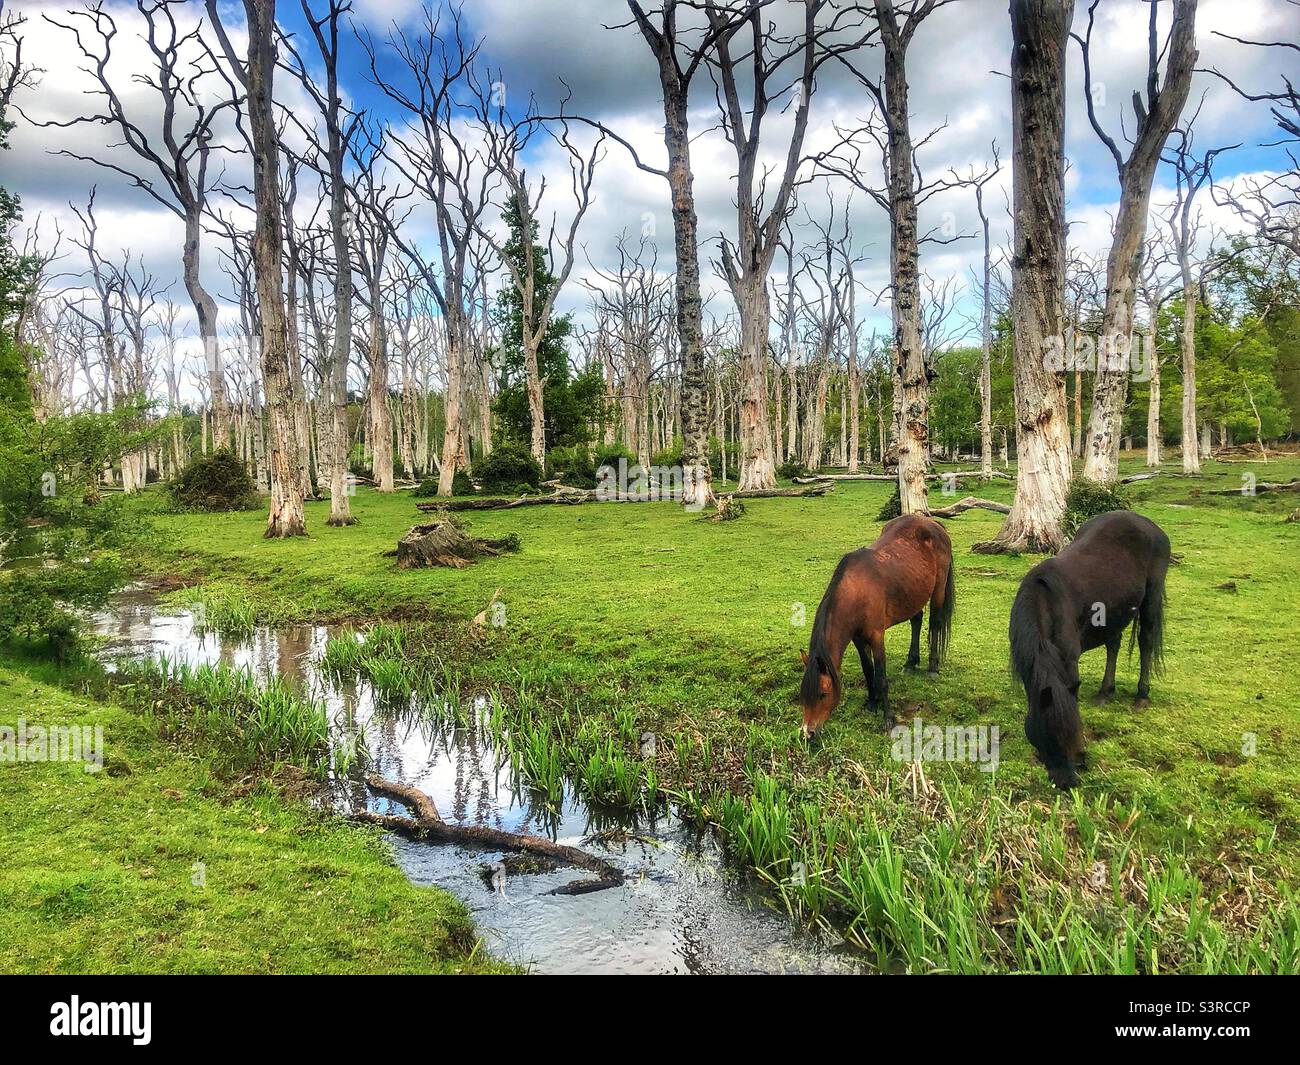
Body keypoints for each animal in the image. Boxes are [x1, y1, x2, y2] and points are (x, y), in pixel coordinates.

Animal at [799, 513, 955, 738]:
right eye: (803, 695)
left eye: (822, 694)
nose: (807, 733)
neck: (857, 592)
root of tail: (931, 522)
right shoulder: (857, 639)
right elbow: (867, 669)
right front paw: (872, 702)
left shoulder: (876, 637)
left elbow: (881, 677)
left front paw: (888, 717)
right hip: (912, 593)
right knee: (916, 620)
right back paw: (910, 662)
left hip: (938, 589)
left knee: (935, 623)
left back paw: (932, 667)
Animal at [1010, 510, 1170, 789]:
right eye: (1043, 739)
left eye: (1072, 735)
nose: (1066, 782)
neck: (1046, 602)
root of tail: (1148, 523)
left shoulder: (1069, 661)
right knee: (1113, 645)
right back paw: (1106, 692)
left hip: (1152, 596)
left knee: (1146, 641)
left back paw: (1142, 695)